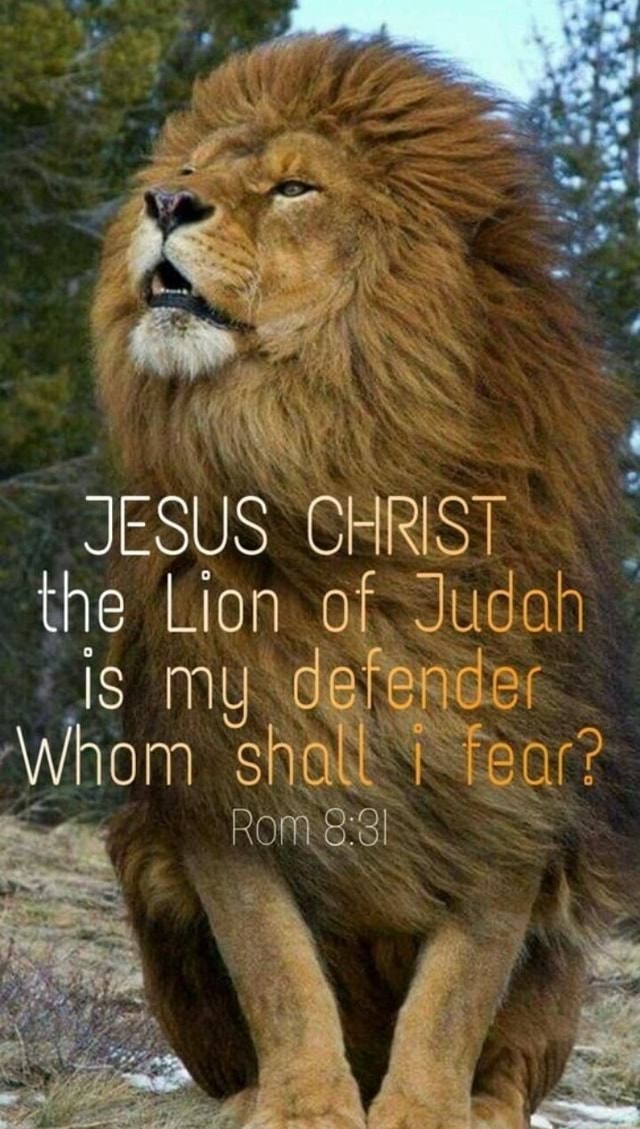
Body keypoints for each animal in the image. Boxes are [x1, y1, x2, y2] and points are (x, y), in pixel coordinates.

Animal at [92, 33, 639, 1129]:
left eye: (294, 187)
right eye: (189, 168)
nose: (163, 201)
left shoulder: (510, 785)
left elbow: (456, 990)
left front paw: (424, 1110)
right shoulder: (215, 768)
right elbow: (277, 966)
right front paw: (302, 1104)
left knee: (513, 1052)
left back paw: (491, 1107)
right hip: (141, 847)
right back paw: (240, 1095)